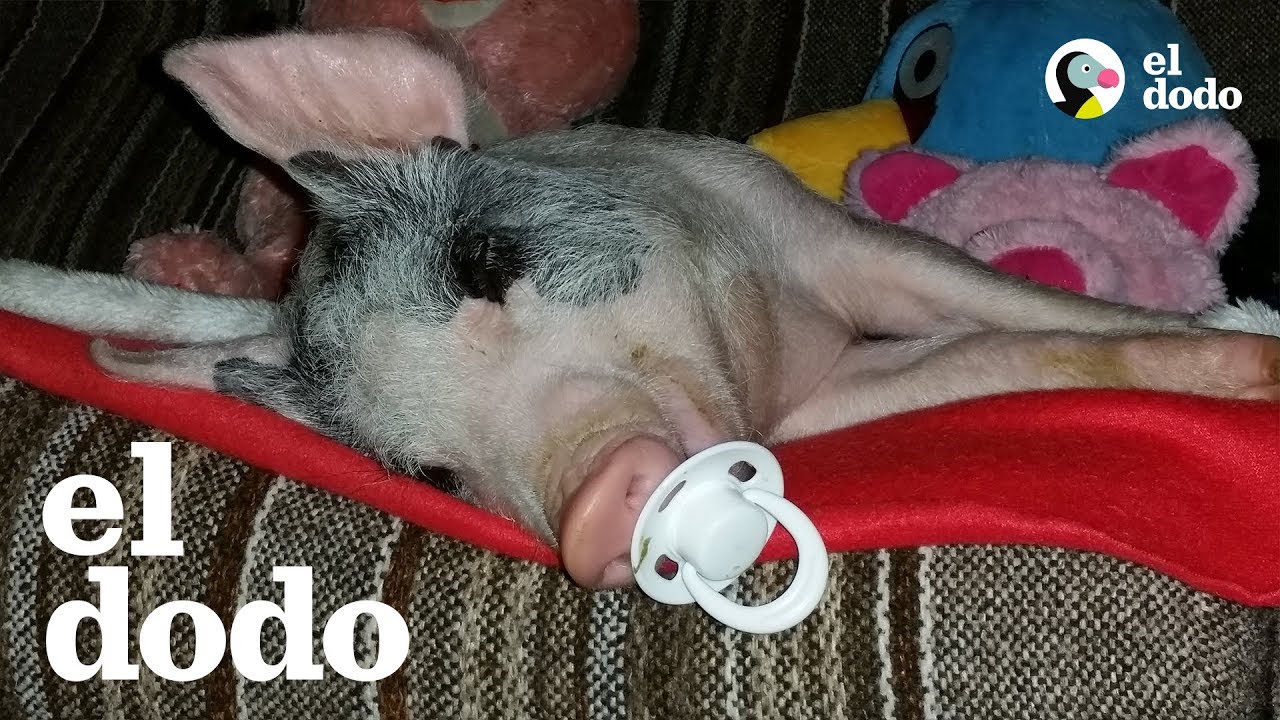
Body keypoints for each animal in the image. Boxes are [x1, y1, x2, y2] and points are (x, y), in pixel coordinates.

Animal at [2, 31, 1277, 589]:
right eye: (425, 473)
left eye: (487, 258)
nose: (596, 492)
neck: (776, 347)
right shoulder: (818, 407)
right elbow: (997, 356)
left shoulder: (811, 235)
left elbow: (993, 299)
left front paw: (1244, 340)